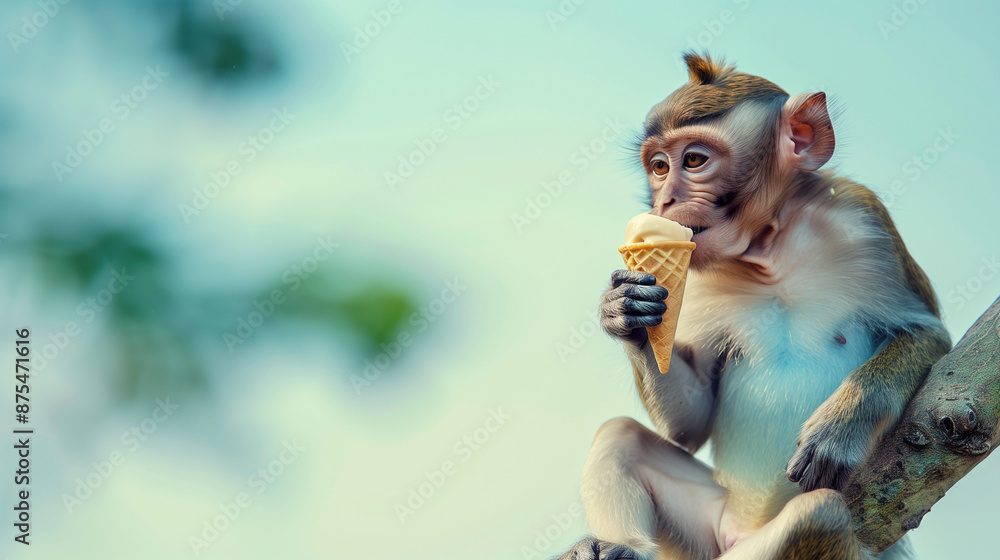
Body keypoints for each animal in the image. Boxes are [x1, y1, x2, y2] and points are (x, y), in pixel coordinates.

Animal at [557, 53, 951, 560]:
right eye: (659, 166)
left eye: (694, 160)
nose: (664, 200)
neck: (769, 251)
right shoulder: (698, 283)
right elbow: (690, 424)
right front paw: (626, 312)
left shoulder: (866, 222)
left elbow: (926, 333)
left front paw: (840, 429)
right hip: (704, 534)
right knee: (620, 435)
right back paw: (623, 546)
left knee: (819, 515)